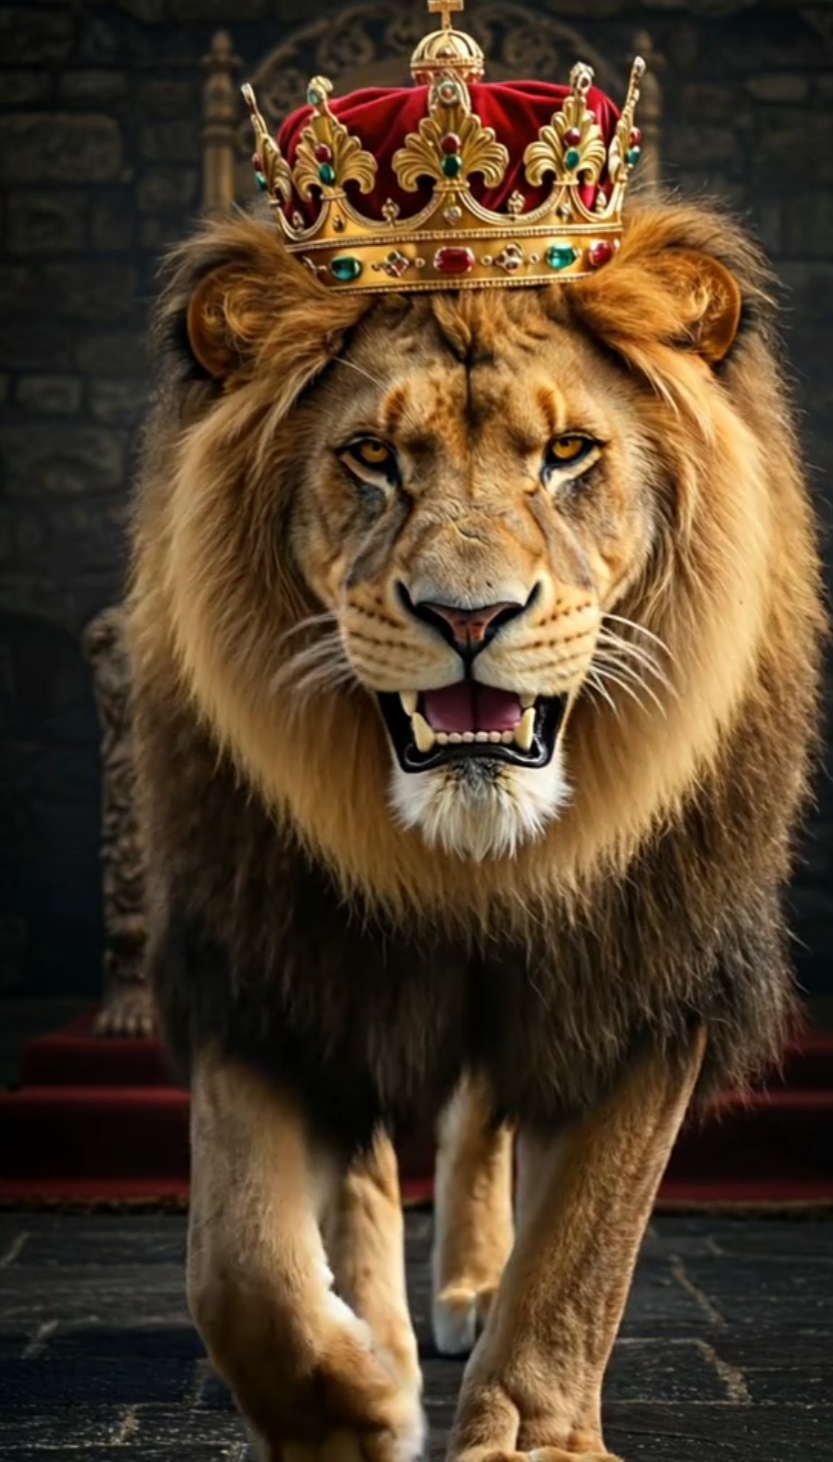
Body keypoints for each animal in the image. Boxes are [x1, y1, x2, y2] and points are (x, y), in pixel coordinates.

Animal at [128, 195, 823, 1462]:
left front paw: (528, 1433)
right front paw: (348, 1410)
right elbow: (242, 1259)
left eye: (566, 454)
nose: (467, 617)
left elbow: (582, 1246)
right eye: (371, 457)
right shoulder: (264, 959)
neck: (464, 863)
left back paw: (467, 1291)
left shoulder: (644, 977)